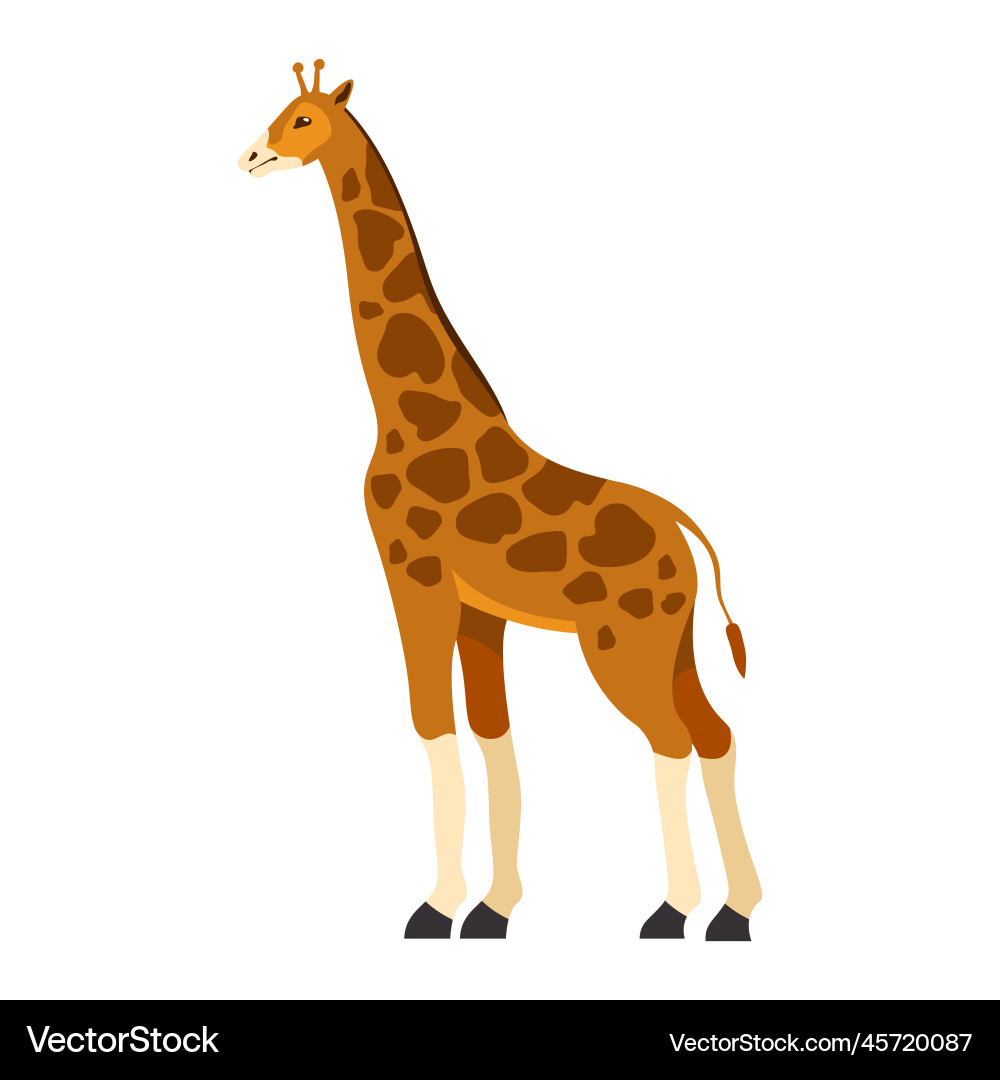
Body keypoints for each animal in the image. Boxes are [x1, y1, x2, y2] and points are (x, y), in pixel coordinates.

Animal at [239, 60, 762, 940]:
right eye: (281, 113)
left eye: (303, 119)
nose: (250, 156)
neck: (405, 413)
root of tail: (686, 533)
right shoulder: (482, 611)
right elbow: (492, 734)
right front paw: (492, 907)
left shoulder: (413, 576)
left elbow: (433, 725)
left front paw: (434, 906)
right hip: (672, 640)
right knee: (713, 732)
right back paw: (735, 912)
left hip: (620, 643)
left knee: (672, 739)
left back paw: (672, 911)